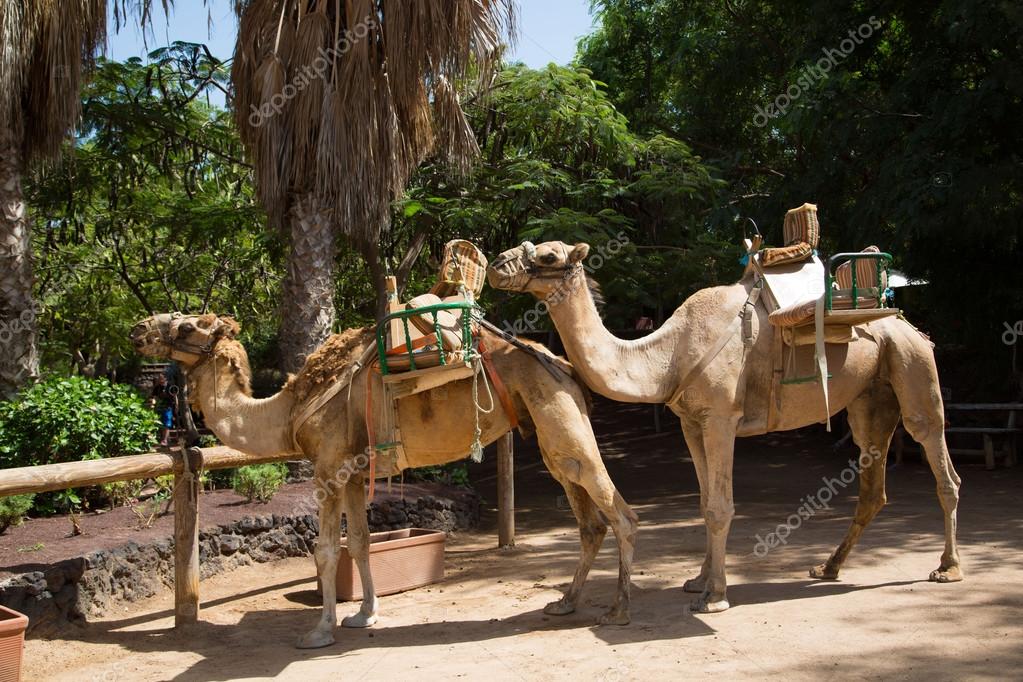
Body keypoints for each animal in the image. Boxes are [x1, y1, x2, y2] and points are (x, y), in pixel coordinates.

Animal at [130, 312, 638, 648]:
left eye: (186, 325)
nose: (138, 330)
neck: (287, 409)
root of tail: (563, 365)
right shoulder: (355, 474)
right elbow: (359, 543)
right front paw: (365, 616)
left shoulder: (329, 467)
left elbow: (325, 550)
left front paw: (319, 631)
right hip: (550, 431)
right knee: (589, 518)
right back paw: (564, 603)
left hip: (560, 418)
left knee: (621, 514)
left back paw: (618, 610)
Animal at [487, 240, 962, 614]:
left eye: (548, 255)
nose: (497, 263)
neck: (668, 356)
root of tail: (906, 322)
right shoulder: (690, 422)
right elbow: (704, 503)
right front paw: (698, 581)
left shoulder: (720, 418)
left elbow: (720, 507)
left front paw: (714, 596)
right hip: (869, 398)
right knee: (872, 483)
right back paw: (829, 567)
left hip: (913, 366)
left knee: (939, 458)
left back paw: (948, 567)